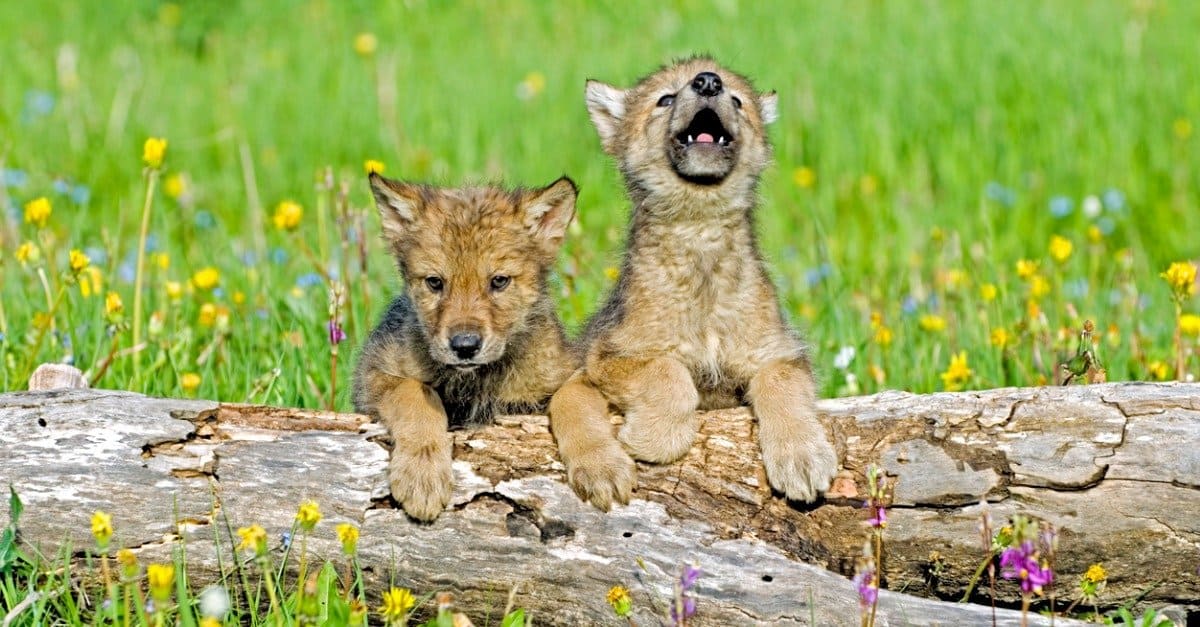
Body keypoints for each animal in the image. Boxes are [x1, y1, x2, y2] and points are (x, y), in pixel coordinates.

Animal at [354, 173, 633, 521]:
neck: (477, 382)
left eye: (499, 281)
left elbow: (574, 398)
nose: (464, 346)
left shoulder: (573, 372)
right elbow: (414, 394)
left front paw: (601, 465)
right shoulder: (373, 375)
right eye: (435, 282)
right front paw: (422, 473)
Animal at [551, 57, 838, 504]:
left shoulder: (779, 353)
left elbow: (782, 386)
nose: (707, 82)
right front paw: (656, 439)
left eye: (737, 100)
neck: (700, 235)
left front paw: (802, 458)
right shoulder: (612, 354)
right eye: (665, 98)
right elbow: (668, 371)